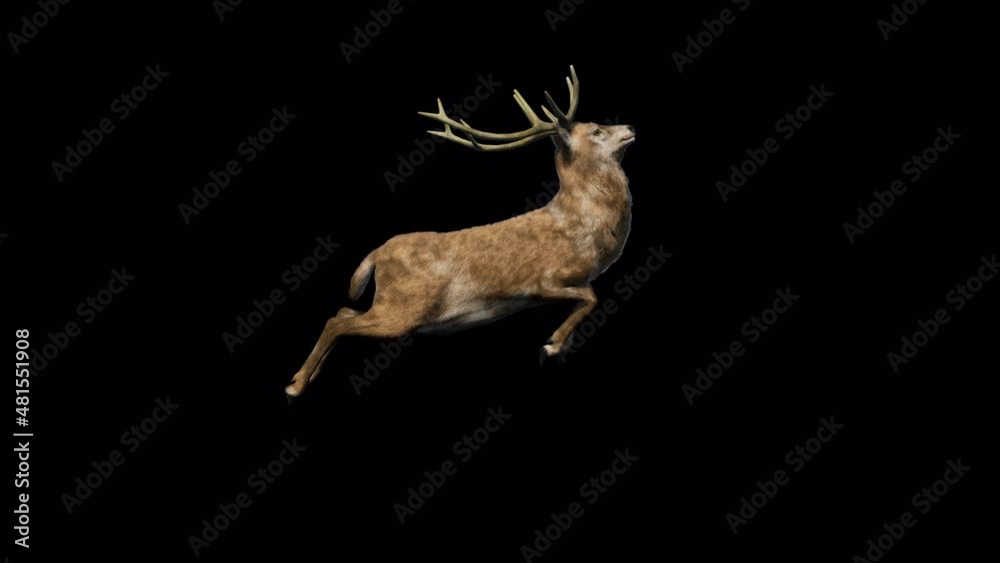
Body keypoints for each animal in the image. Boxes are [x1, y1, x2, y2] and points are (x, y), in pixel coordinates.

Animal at [285, 66, 636, 399]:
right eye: (597, 130)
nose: (630, 128)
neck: (579, 224)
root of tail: (376, 255)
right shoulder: (543, 280)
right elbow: (592, 297)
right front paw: (551, 344)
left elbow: (585, 300)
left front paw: (556, 345)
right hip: (402, 310)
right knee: (336, 321)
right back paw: (295, 385)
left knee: (343, 311)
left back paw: (305, 377)